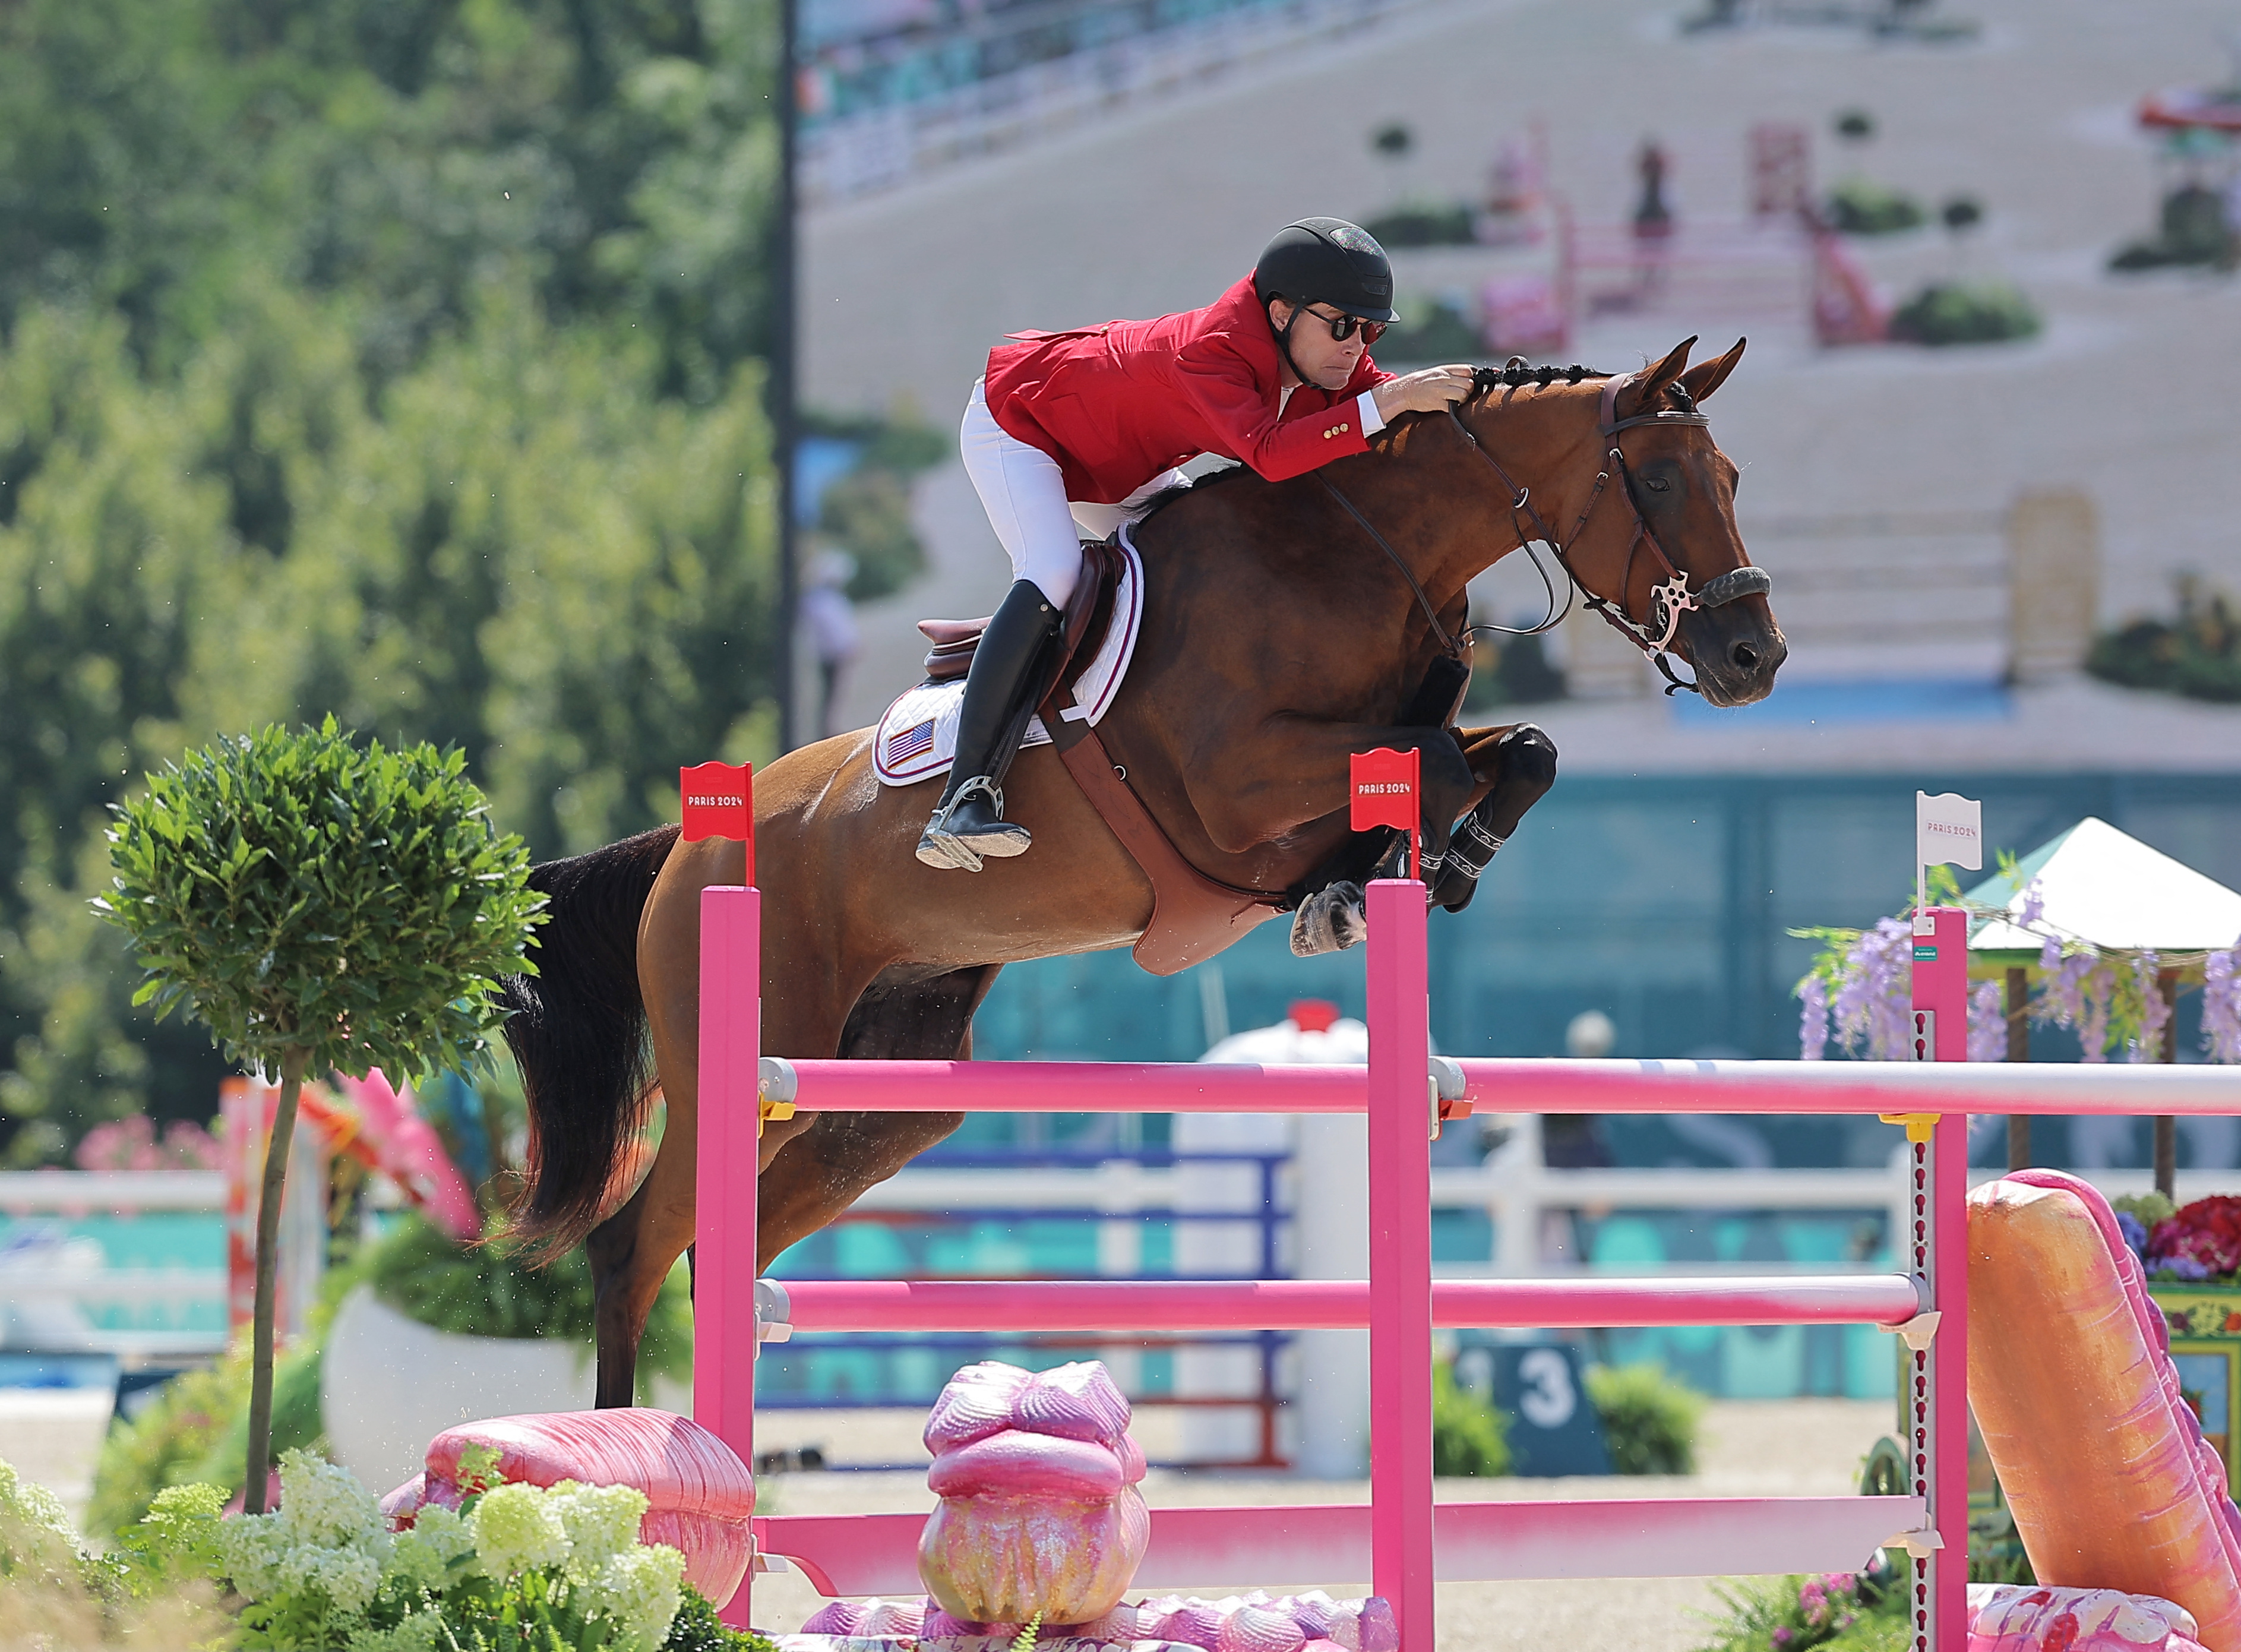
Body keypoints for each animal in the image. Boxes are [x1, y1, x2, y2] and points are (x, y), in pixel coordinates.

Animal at [499, 336, 1787, 1407]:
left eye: (1729, 475)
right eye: (1657, 481)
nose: (1751, 658)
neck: (1358, 555)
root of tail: (690, 844)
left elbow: (1515, 750)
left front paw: (1431, 866)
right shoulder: (1234, 790)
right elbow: (1421, 761)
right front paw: (1355, 886)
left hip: (884, 1091)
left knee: (747, 1240)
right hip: (750, 1051)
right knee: (635, 1245)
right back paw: (638, 1485)